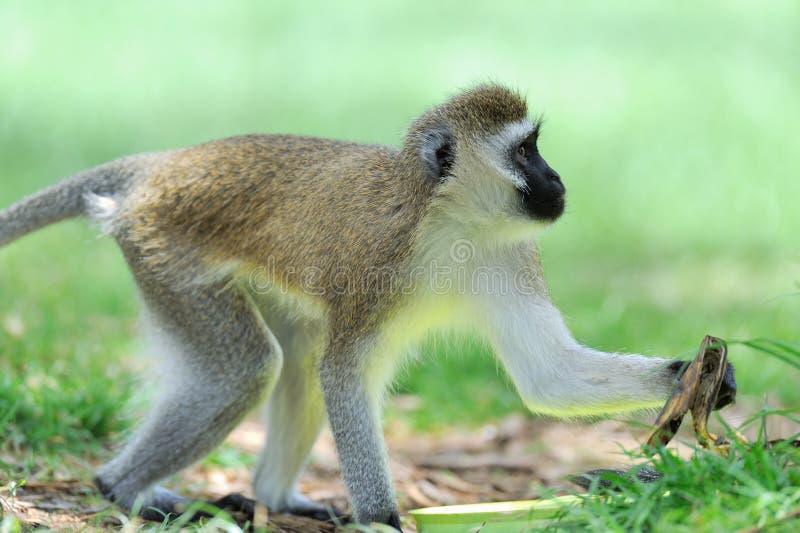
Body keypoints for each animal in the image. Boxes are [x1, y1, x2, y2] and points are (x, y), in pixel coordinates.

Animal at [0, 84, 736, 531]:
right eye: (527, 150)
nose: (557, 179)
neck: (451, 221)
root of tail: (165, 167)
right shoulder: (374, 264)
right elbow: (345, 373)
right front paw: (382, 515)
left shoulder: (511, 255)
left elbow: (549, 375)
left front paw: (689, 377)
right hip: (166, 255)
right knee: (248, 369)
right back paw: (124, 489)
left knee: (297, 358)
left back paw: (273, 498)